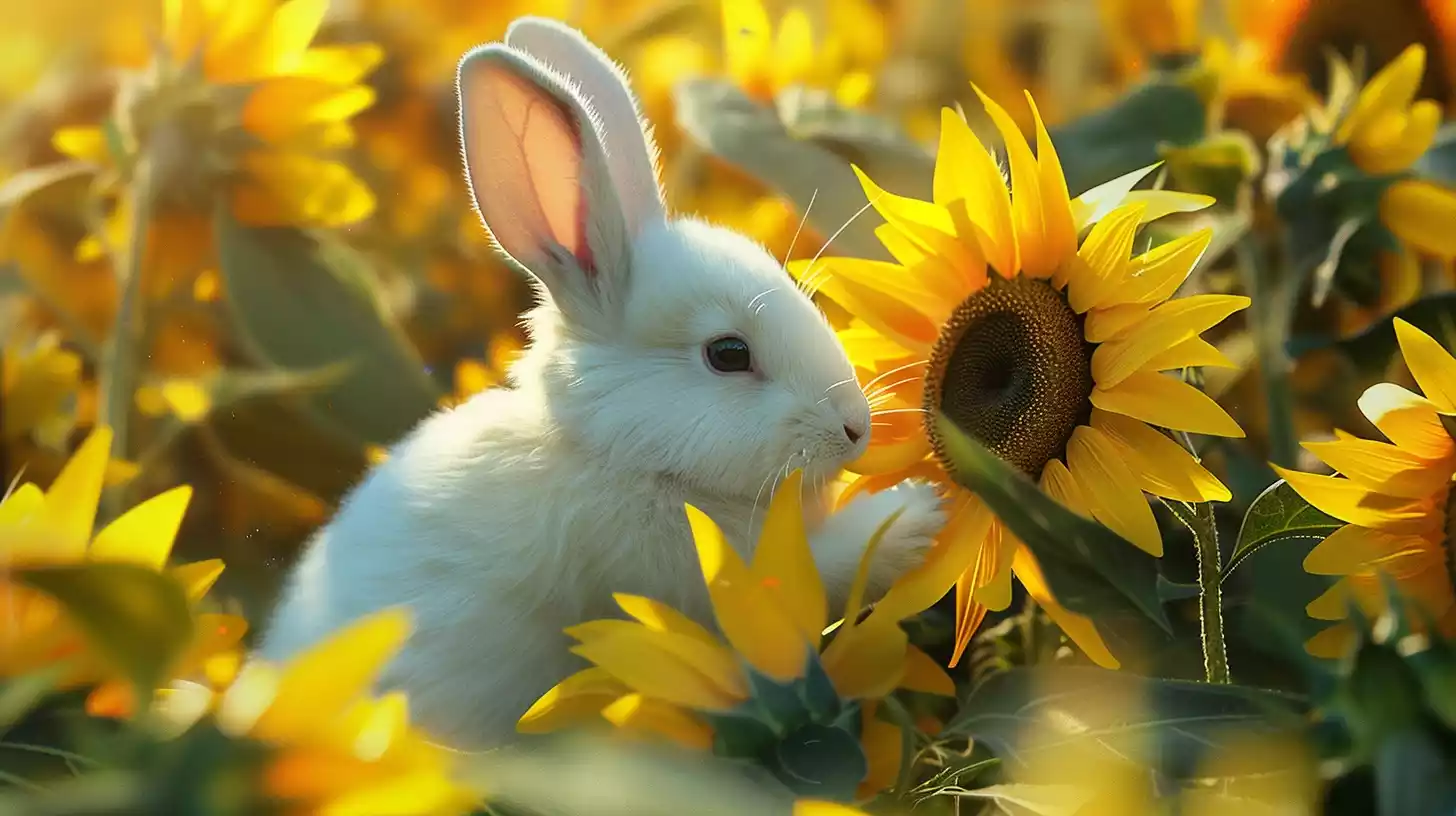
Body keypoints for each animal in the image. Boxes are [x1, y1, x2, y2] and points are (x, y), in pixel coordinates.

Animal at [257, 16, 948, 751]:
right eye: (729, 354)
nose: (856, 428)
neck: (616, 454)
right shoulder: (689, 574)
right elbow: (828, 567)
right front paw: (916, 514)